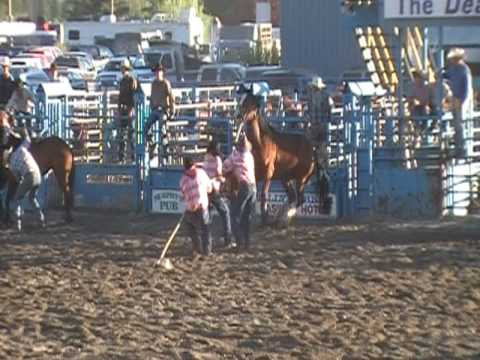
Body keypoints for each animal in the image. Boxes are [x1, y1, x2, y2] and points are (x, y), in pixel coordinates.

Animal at [238, 88, 324, 222]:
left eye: (249, 102)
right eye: (241, 100)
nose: (238, 116)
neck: (260, 143)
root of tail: (312, 149)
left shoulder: (268, 173)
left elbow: (263, 194)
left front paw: (265, 217)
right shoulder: (254, 174)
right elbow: (254, 194)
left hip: (302, 178)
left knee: (300, 199)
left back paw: (283, 218)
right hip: (286, 179)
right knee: (293, 197)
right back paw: (279, 216)